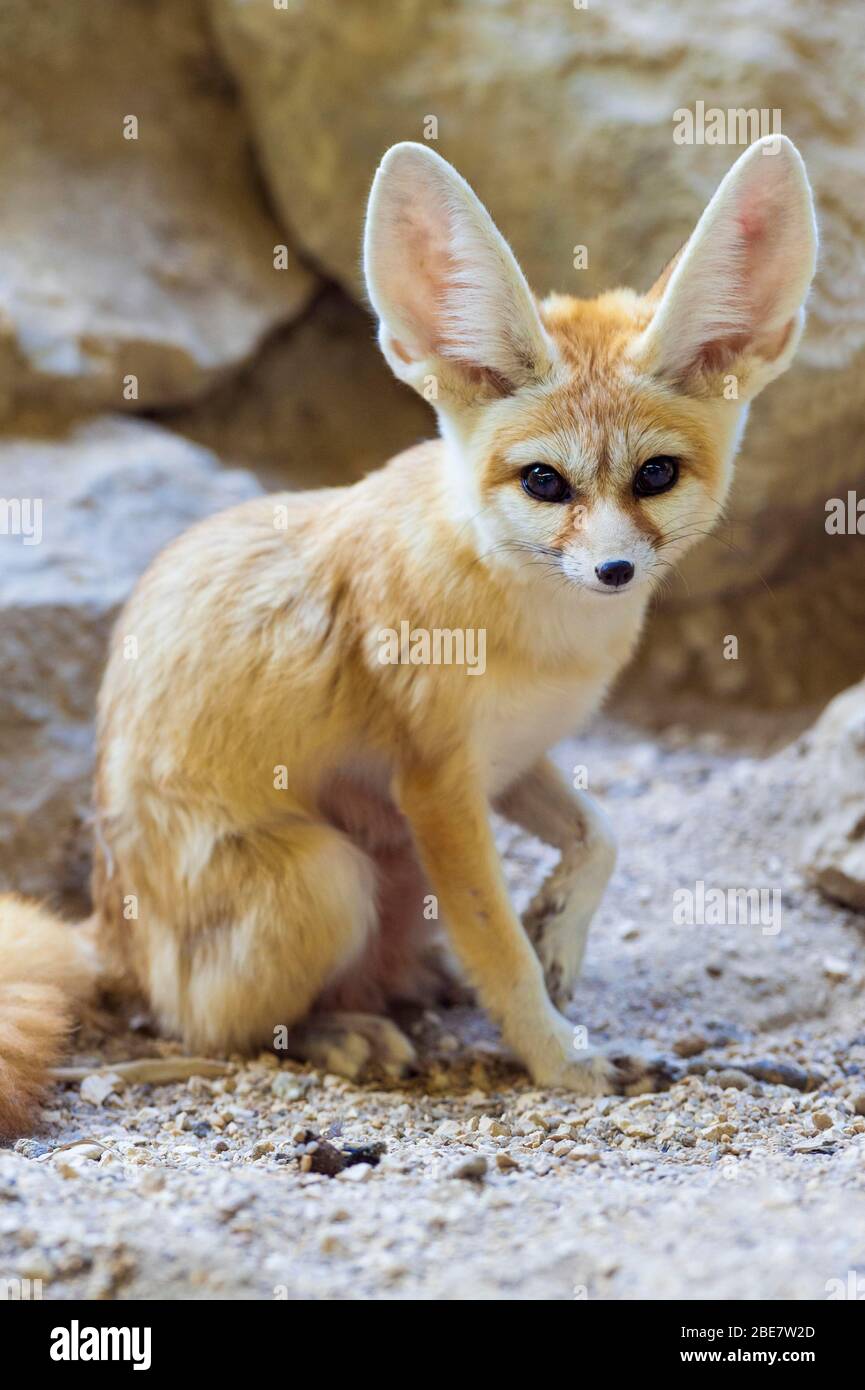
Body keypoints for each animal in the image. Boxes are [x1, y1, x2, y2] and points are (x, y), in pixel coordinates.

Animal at [0, 134, 817, 1137]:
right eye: (544, 483)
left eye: (655, 475)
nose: (614, 572)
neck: (547, 635)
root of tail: (105, 932)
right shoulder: (435, 788)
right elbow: (499, 950)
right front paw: (561, 1060)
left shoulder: (509, 755)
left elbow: (601, 834)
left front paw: (559, 929)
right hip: (326, 875)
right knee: (214, 1029)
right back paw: (340, 1034)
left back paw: (414, 986)